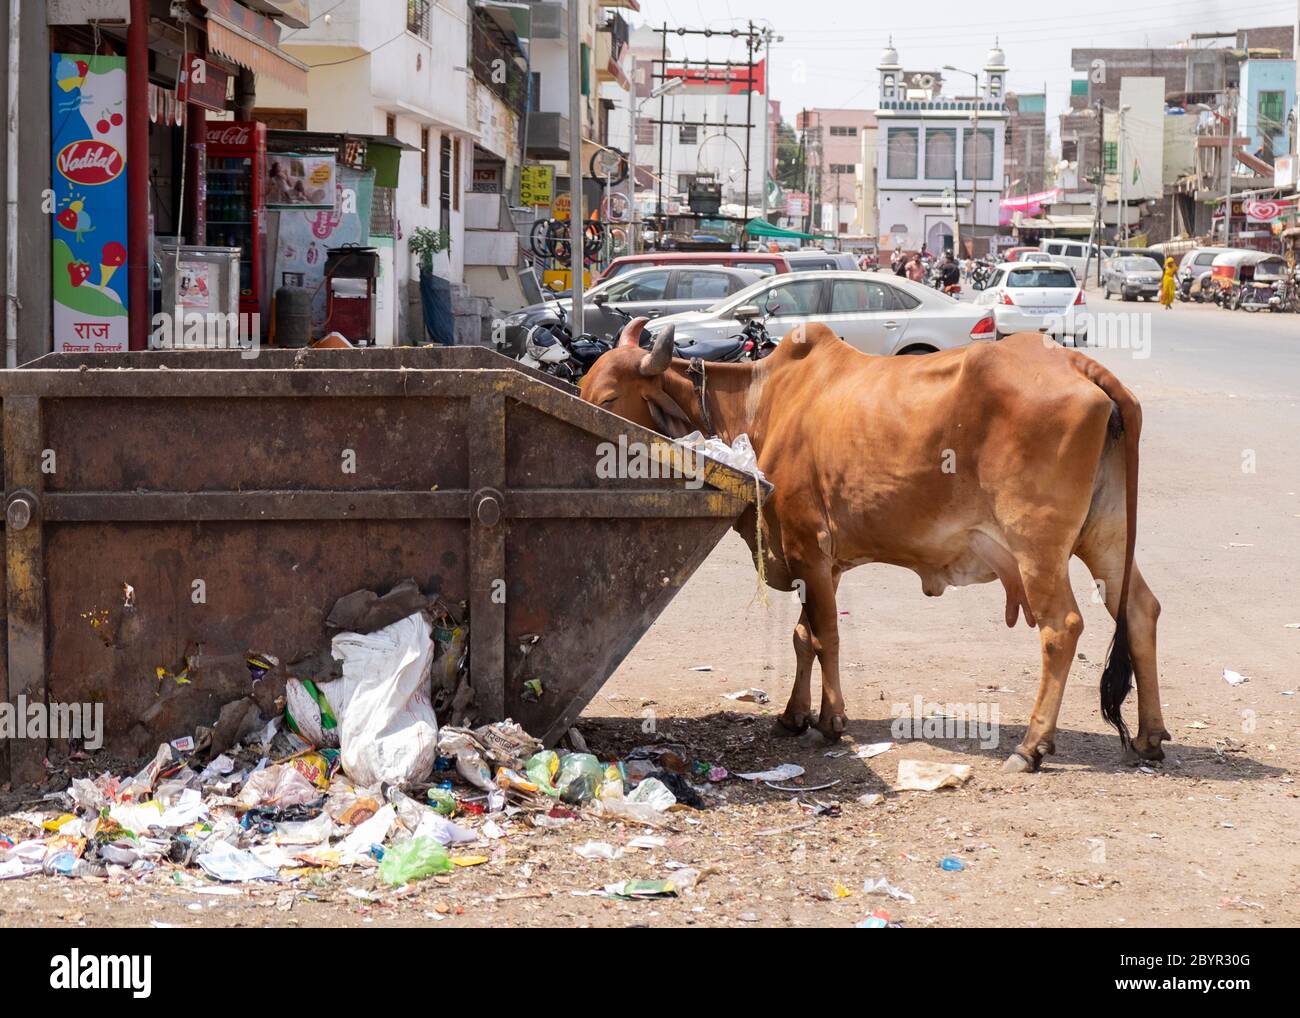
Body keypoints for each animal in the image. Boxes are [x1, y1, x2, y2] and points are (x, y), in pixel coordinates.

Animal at [580, 318, 1169, 772]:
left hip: (1037, 548)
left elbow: (827, 636)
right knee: (1140, 609)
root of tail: (1079, 365)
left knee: (1061, 628)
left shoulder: (808, 547)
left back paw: (1031, 745)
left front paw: (832, 719)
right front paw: (794, 715)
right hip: (1106, 537)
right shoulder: (819, 562)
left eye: (609, 398)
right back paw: (1149, 736)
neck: (763, 405)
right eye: (583, 388)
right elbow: (803, 637)